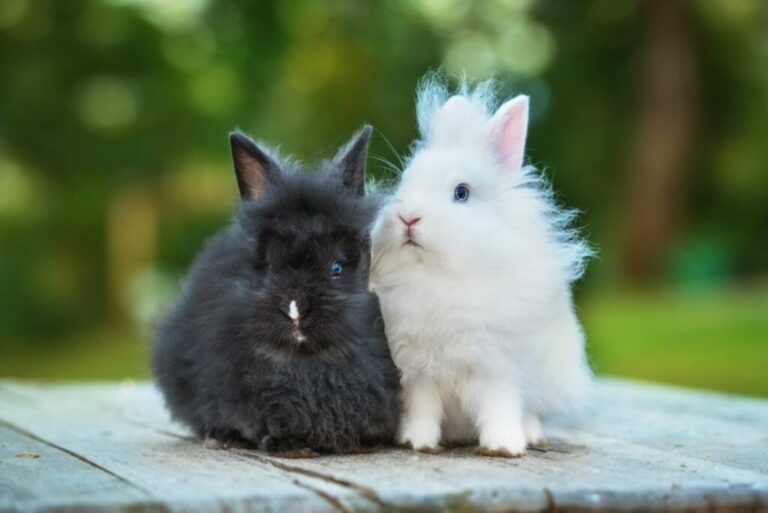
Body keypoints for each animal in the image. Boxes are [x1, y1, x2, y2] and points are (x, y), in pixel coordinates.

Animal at [152, 126, 401, 456]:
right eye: (269, 265)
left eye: (336, 266)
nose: (295, 311)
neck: (307, 362)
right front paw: (289, 445)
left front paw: (362, 444)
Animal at [370, 77, 593, 458]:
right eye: (404, 182)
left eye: (461, 193)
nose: (408, 218)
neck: (438, 277)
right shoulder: (417, 373)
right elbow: (422, 410)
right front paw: (416, 443)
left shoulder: (499, 369)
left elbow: (500, 407)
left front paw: (503, 447)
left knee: (531, 410)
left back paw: (532, 436)